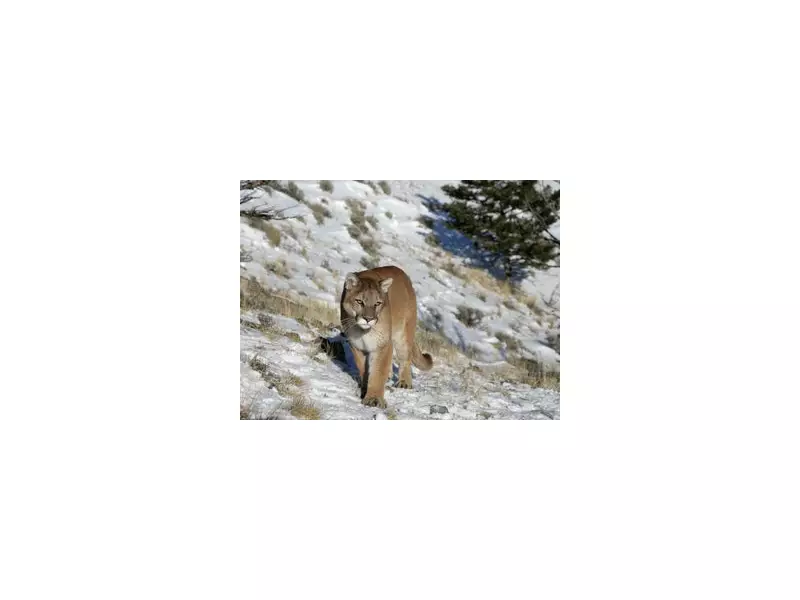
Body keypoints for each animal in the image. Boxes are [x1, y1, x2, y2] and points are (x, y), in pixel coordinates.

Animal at [340, 265, 433, 408]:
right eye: (359, 301)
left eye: (377, 303)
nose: (368, 319)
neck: (362, 331)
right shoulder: (357, 346)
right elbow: (364, 369)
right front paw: (364, 390)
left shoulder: (383, 345)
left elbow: (378, 372)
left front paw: (374, 399)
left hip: (403, 335)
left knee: (405, 358)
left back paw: (404, 382)